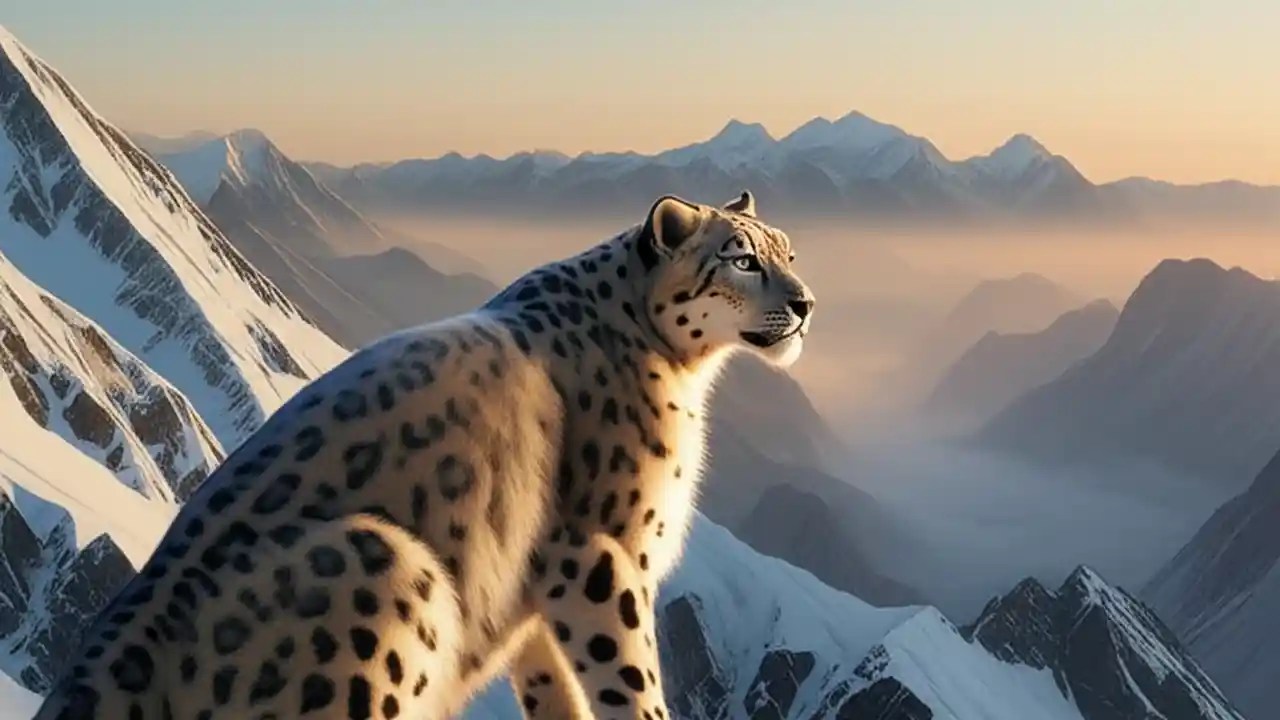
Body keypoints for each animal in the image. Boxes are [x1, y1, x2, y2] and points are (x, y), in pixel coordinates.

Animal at [33, 189, 815, 720]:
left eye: (789, 251)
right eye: (743, 259)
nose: (808, 302)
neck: (684, 372)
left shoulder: (537, 595)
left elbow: (552, 682)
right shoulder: (600, 552)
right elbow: (629, 678)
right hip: (382, 572)